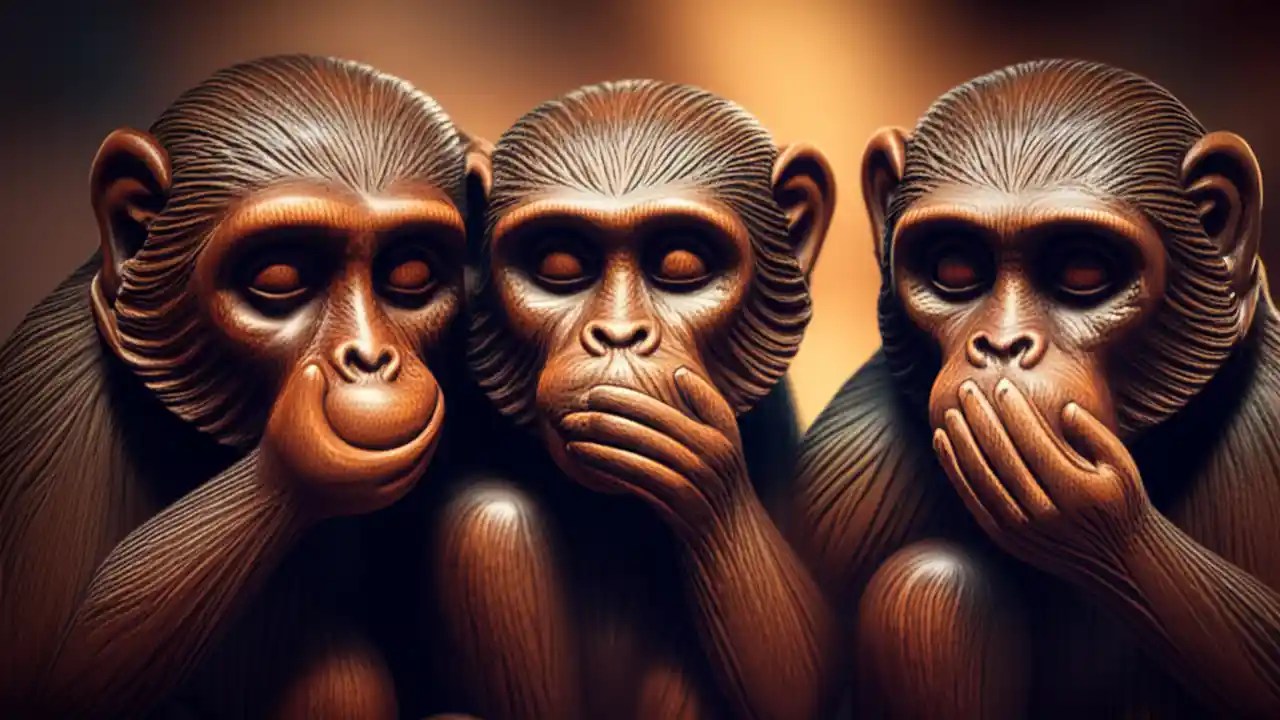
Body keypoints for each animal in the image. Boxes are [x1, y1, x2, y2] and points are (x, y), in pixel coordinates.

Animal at [0, 55, 487, 718]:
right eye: (279, 276)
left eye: (412, 271)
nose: (368, 358)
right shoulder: (50, 406)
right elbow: (48, 670)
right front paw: (304, 456)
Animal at [789, 59, 1280, 719]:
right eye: (955, 267)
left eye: (1084, 270)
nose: (1003, 345)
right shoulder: (842, 476)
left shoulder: (1271, 423)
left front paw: (1098, 520)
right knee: (934, 590)